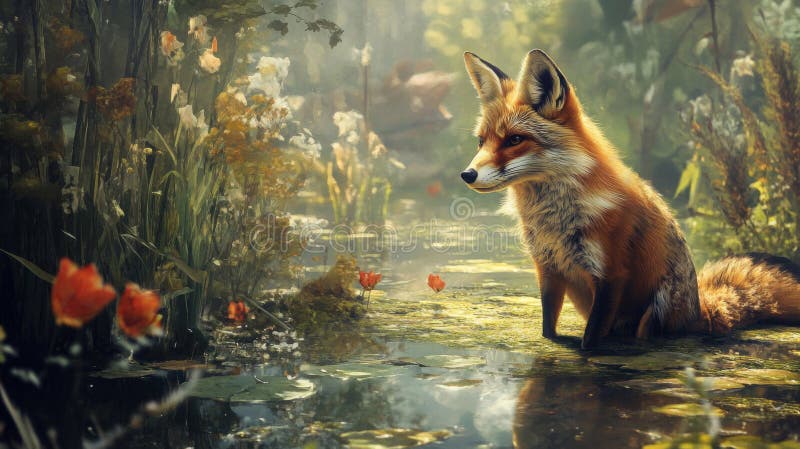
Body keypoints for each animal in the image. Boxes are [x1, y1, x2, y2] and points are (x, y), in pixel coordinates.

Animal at [460, 49, 800, 349]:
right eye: (481, 142)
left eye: (515, 140)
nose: (467, 174)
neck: (554, 219)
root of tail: (699, 310)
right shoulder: (548, 269)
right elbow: (548, 330)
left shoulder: (610, 274)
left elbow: (590, 340)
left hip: (654, 312)